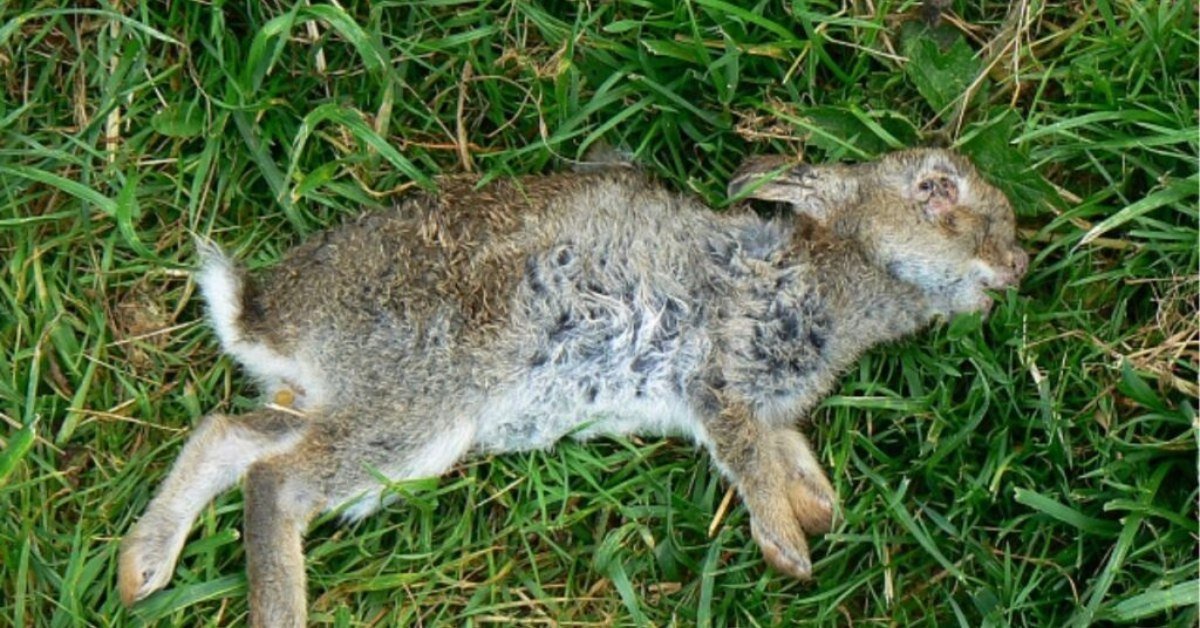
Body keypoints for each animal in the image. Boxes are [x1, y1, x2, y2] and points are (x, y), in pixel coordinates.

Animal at [118, 148, 1027, 626]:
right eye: (935, 190)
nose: (1017, 263)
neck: (836, 269)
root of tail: (265, 317)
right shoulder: (719, 379)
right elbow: (748, 459)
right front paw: (789, 551)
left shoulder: (769, 415)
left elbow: (788, 460)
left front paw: (816, 513)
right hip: (415, 415)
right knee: (277, 484)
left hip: (366, 417)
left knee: (231, 436)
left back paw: (142, 569)